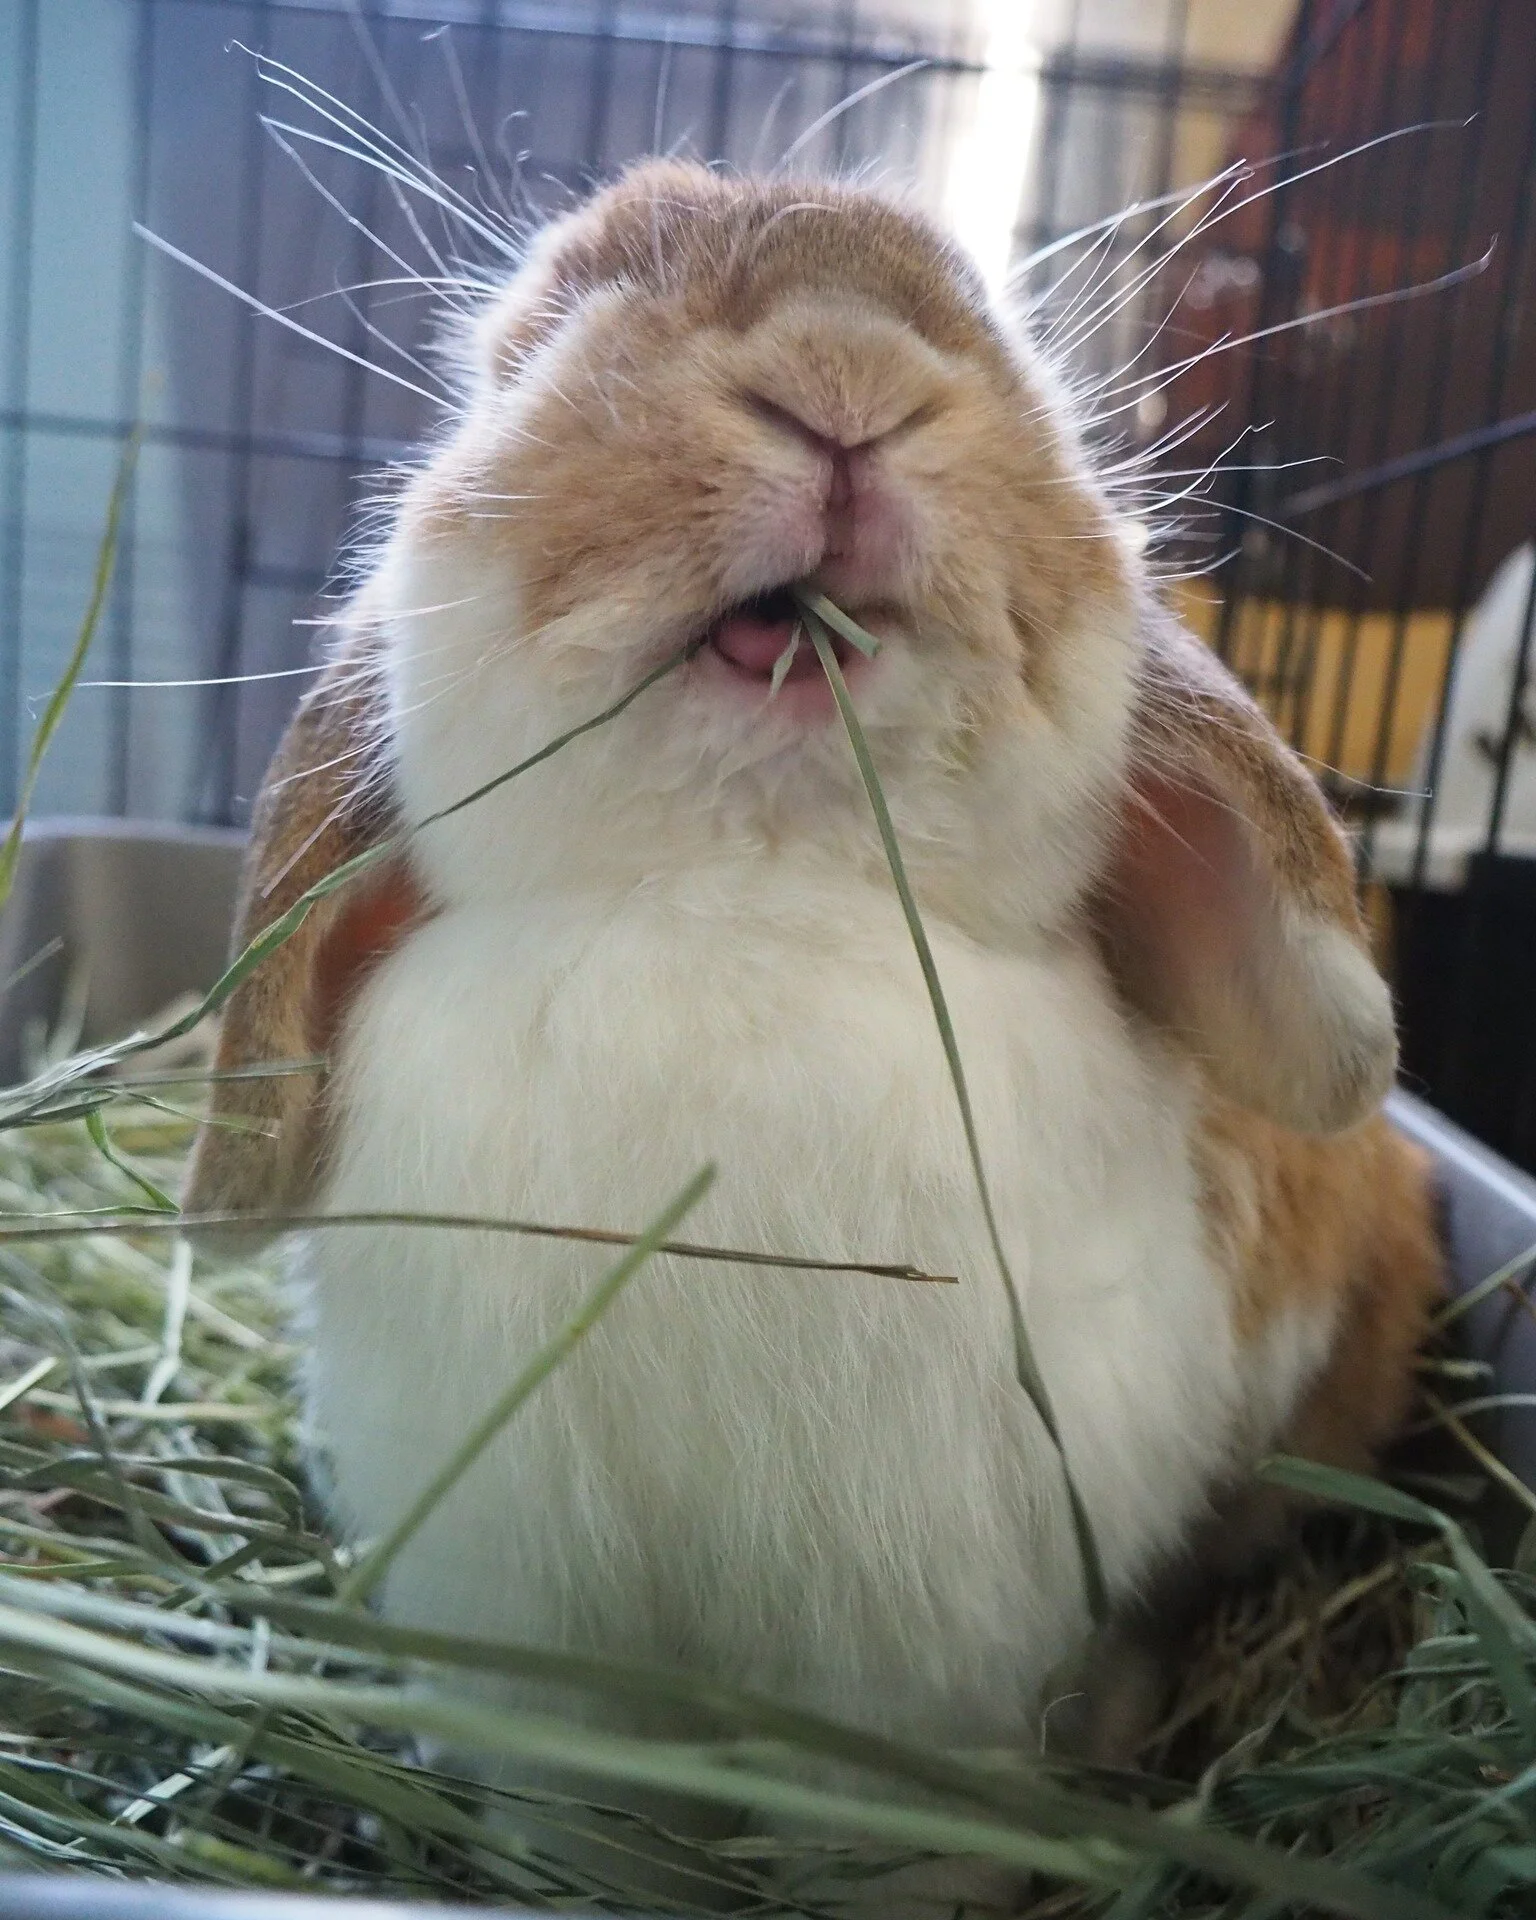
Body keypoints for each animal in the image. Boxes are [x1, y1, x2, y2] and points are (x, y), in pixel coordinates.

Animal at [186, 161, 1444, 1911]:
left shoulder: (929, 1671)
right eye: (541, 340)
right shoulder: (544, 1650)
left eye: (1001, 342)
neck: (747, 888)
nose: (844, 373)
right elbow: (586, 1822)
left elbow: (889, 1839)